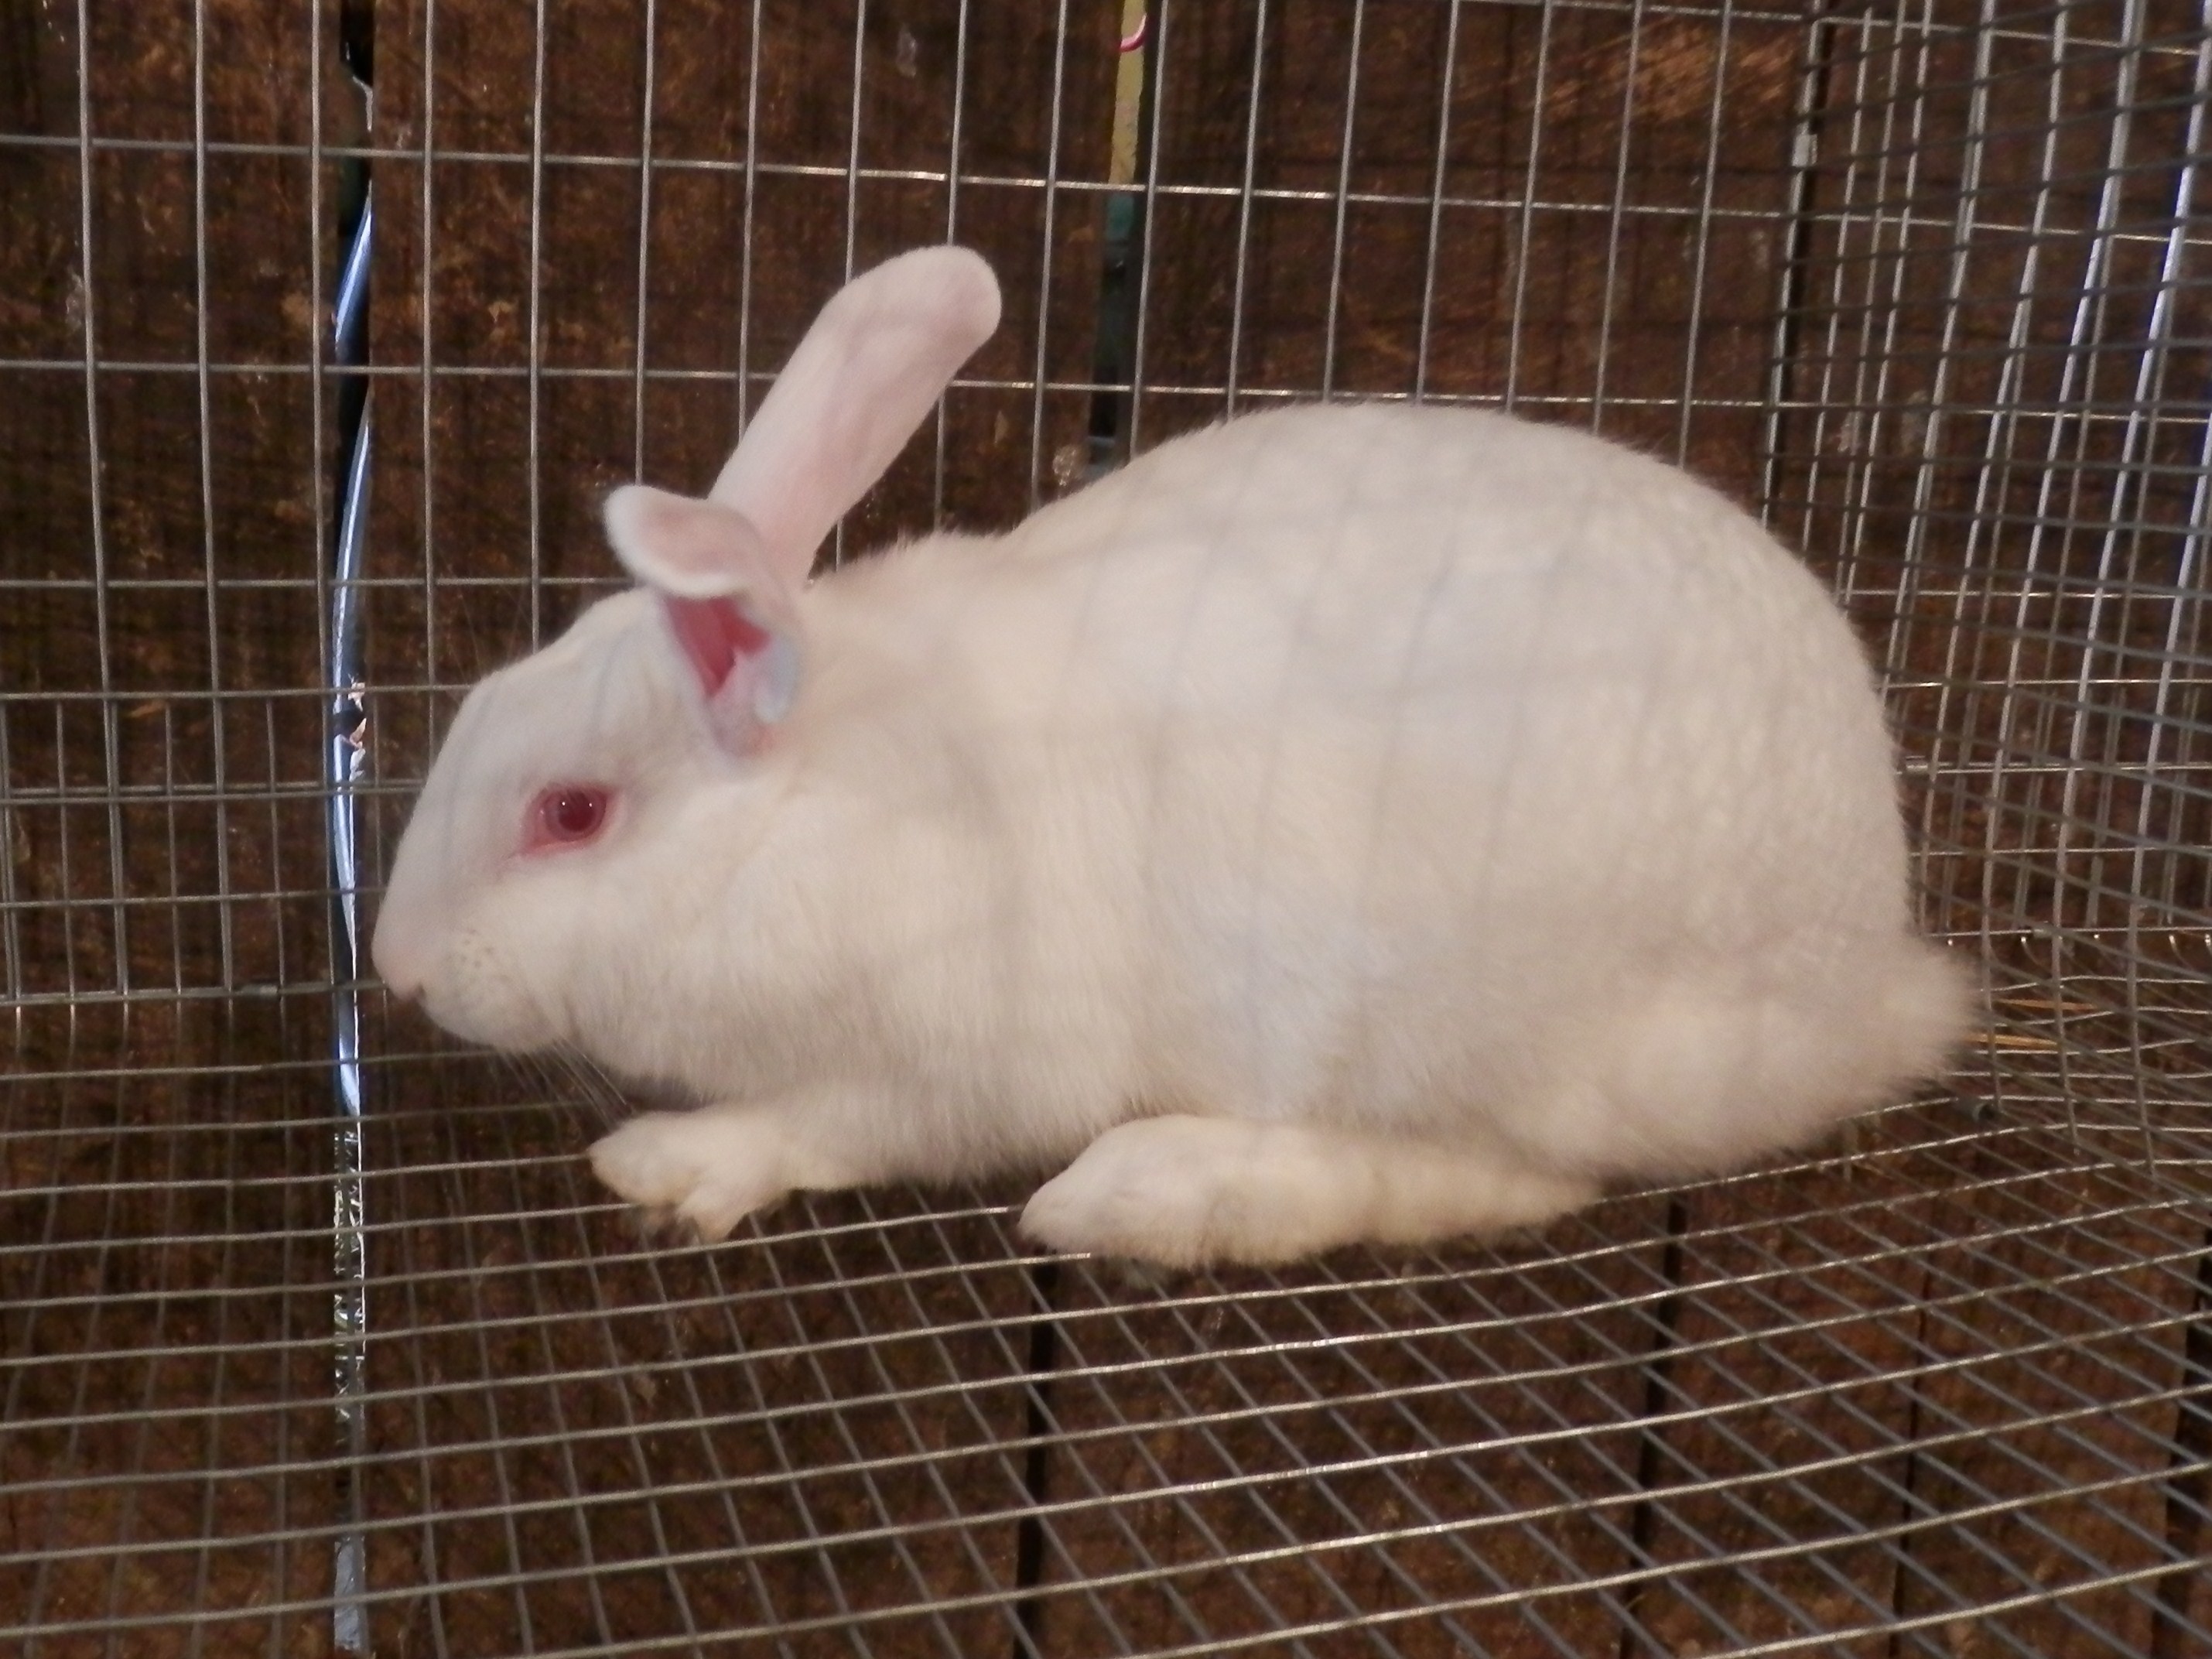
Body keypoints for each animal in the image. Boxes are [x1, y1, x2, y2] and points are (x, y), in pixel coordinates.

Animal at [371, 244, 1975, 1269]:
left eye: (570, 812)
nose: (396, 969)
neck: (831, 798)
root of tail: (1871, 969)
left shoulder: (961, 1059)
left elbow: (825, 1122)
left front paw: (669, 1165)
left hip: (1466, 1025)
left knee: (1502, 1173)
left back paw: (1151, 1193)